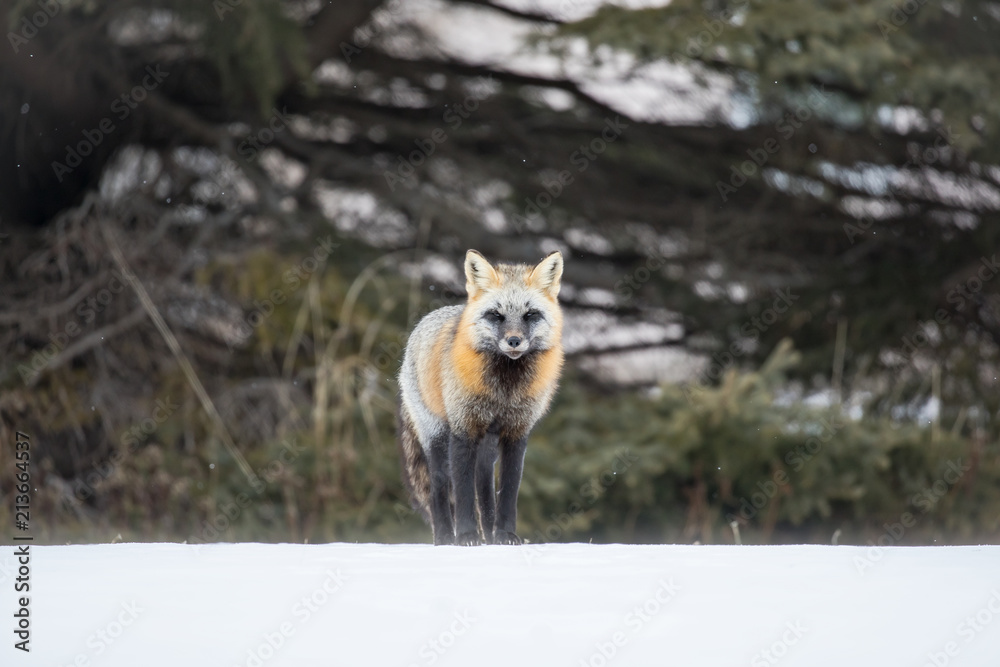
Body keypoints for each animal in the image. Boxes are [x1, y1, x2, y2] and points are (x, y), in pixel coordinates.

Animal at [397, 249, 564, 546]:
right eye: (496, 315)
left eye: (530, 314)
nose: (513, 341)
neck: (503, 390)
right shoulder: (463, 430)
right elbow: (462, 493)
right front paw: (466, 536)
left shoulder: (516, 433)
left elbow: (507, 492)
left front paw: (505, 535)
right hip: (437, 438)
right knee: (439, 487)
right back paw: (444, 538)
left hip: (486, 451)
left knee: (484, 488)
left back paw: (489, 535)